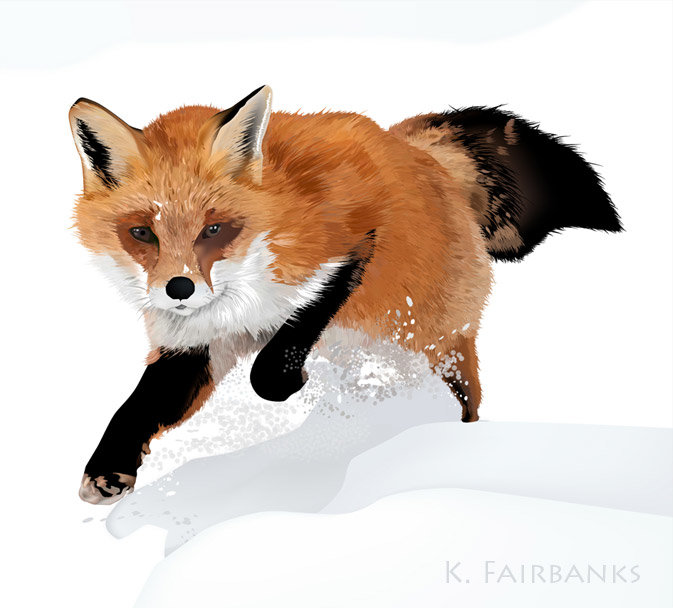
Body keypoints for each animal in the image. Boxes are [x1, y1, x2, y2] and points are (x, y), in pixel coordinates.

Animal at [70, 85, 622, 505]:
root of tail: (417, 151)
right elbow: (136, 408)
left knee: (467, 399)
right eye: (142, 233)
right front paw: (108, 468)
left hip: (436, 346)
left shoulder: (353, 242)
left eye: (214, 229)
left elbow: (279, 355)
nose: (179, 289)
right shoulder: (195, 342)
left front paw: (290, 379)